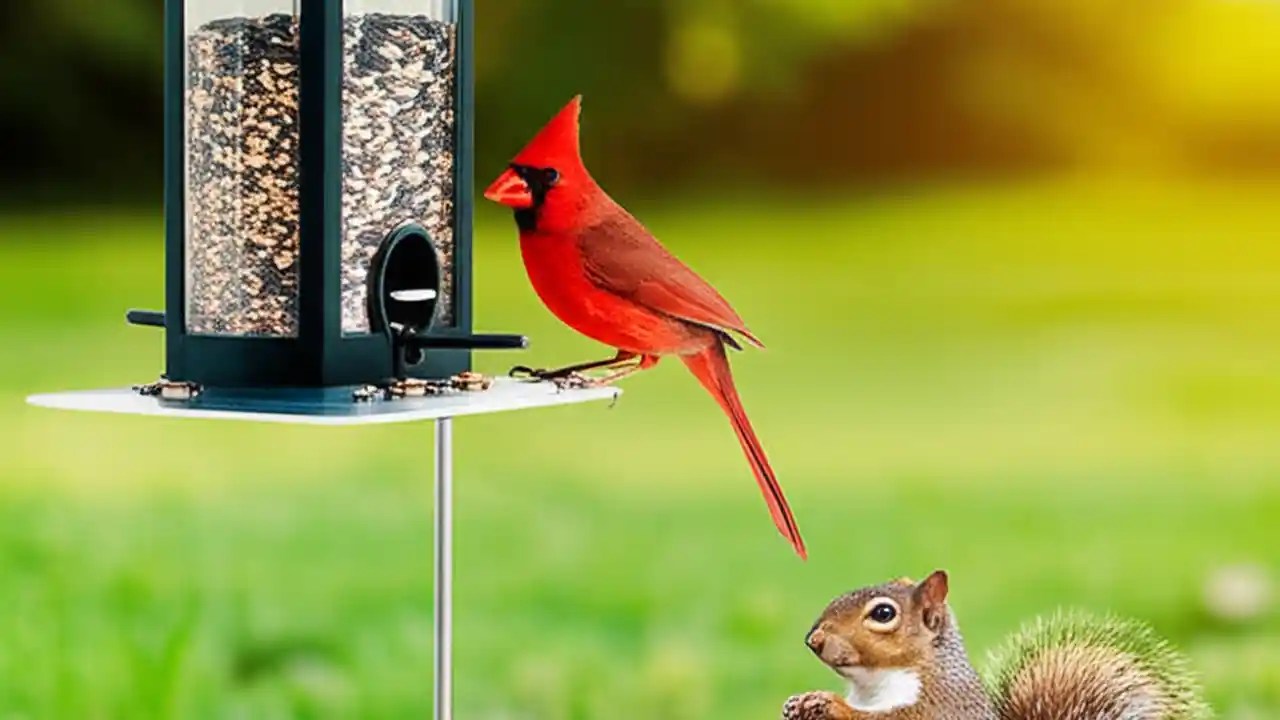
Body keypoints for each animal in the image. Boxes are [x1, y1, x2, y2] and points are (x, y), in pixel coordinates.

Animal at [782, 571, 1211, 720]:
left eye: (884, 614)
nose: (814, 639)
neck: (873, 687)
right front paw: (799, 703)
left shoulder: (936, 712)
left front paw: (828, 704)